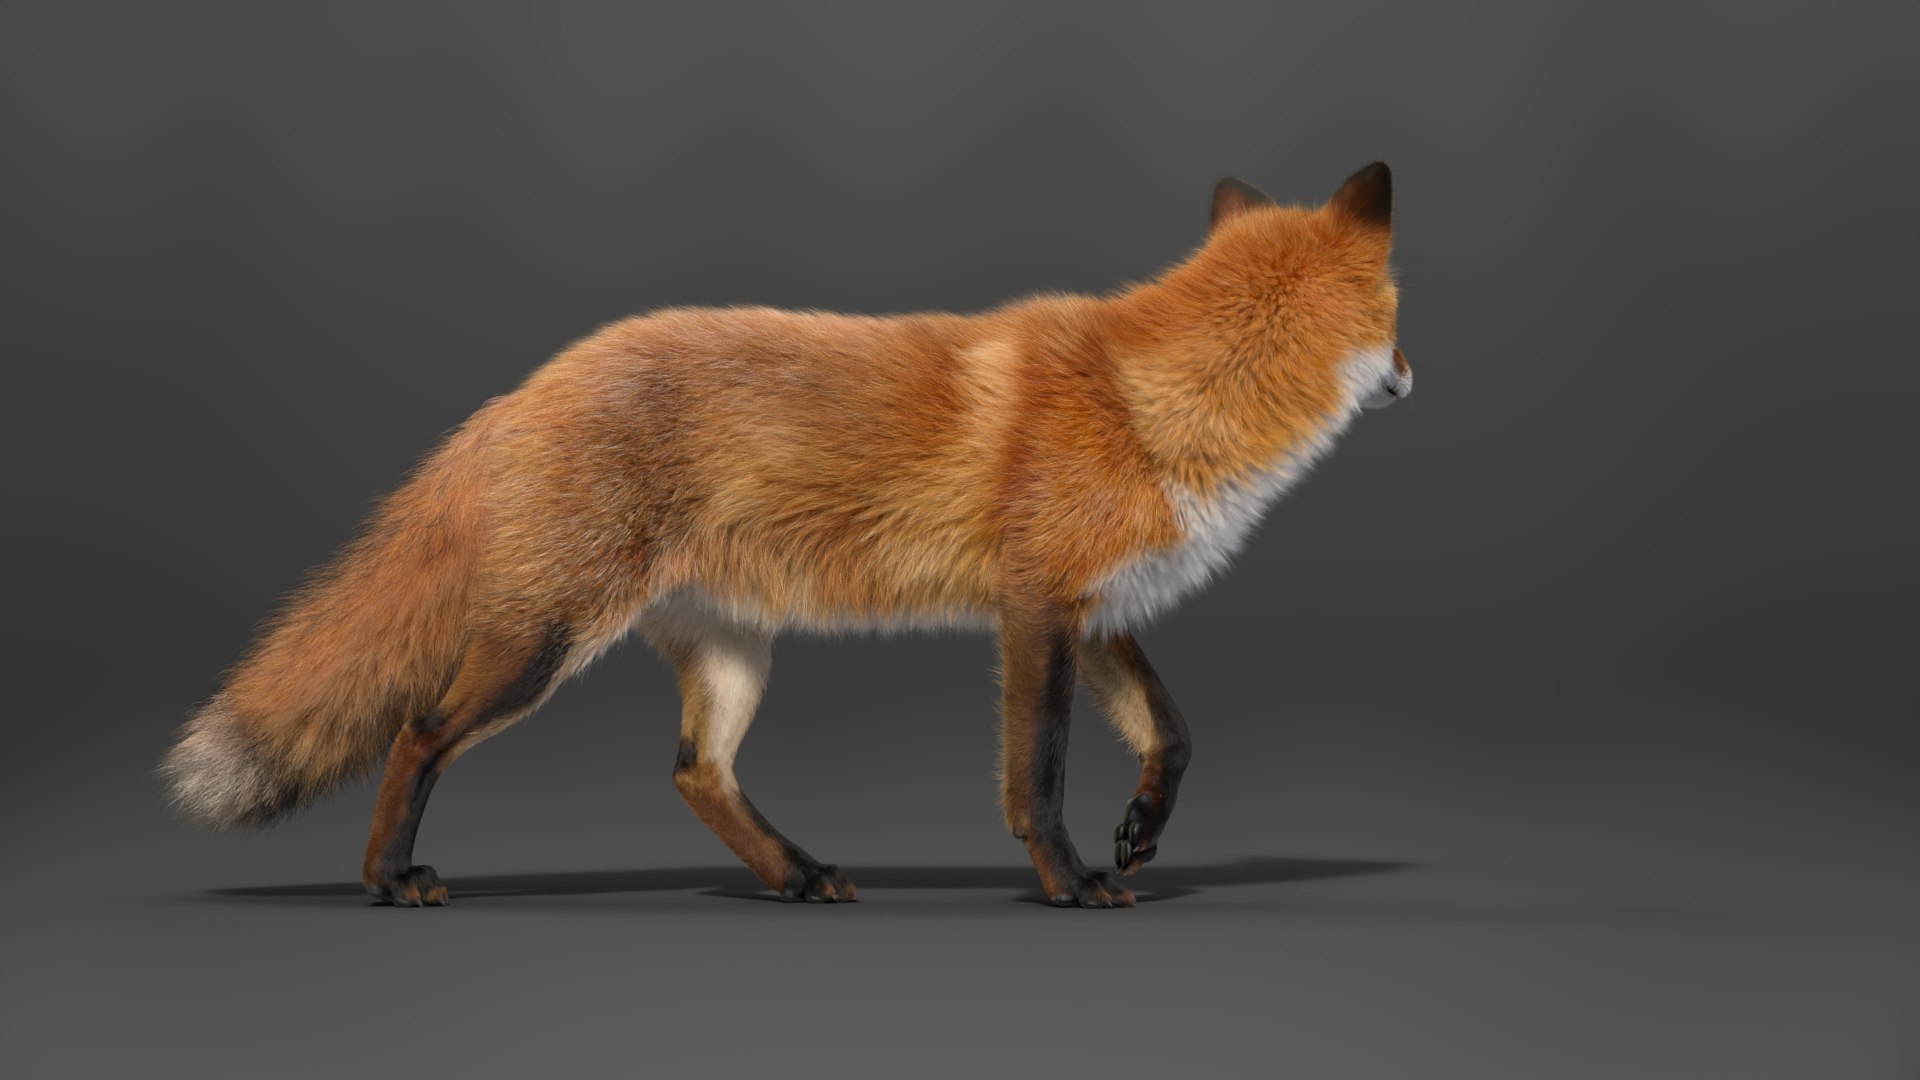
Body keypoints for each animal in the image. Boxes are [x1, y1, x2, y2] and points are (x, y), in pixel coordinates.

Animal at [160, 163, 1413, 909]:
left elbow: (1177, 732)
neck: (1162, 399)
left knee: (695, 774)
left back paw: (796, 872)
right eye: (1404, 313)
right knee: (420, 729)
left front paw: (1143, 830)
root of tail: (523, 389)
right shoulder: (1035, 610)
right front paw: (1066, 879)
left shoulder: (1091, 605)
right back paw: (388, 877)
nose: (1414, 375)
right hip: (542, 647)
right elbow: (1038, 774)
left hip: (731, 656)